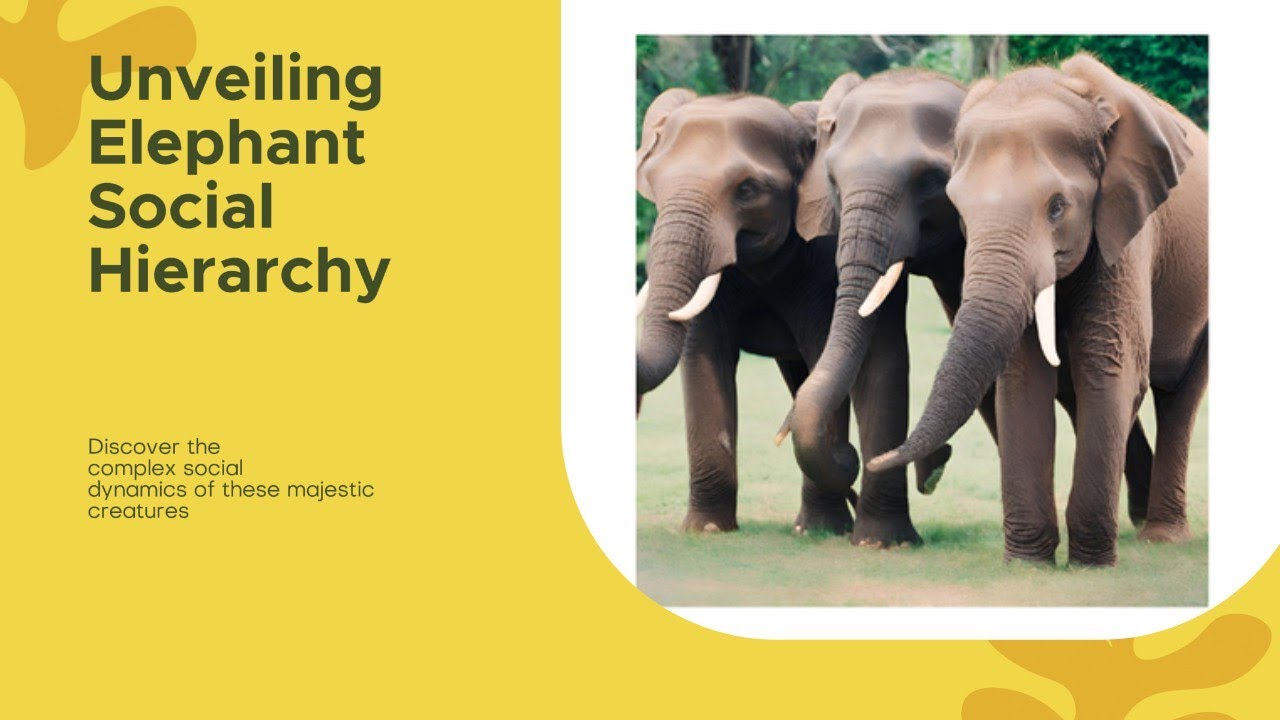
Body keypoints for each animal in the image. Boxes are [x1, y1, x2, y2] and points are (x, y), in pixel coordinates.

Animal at [635, 89, 862, 534]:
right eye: (653, 181)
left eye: (748, 189)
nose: (848, 453)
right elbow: (704, 356)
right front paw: (707, 530)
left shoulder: (824, 263)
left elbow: (822, 350)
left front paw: (818, 529)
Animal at [868, 54, 1208, 566]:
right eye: (959, 210)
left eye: (1058, 208)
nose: (874, 462)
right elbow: (1025, 375)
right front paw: (1030, 563)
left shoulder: (1126, 221)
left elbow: (1110, 364)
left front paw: (1090, 565)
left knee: (1177, 397)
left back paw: (1161, 536)